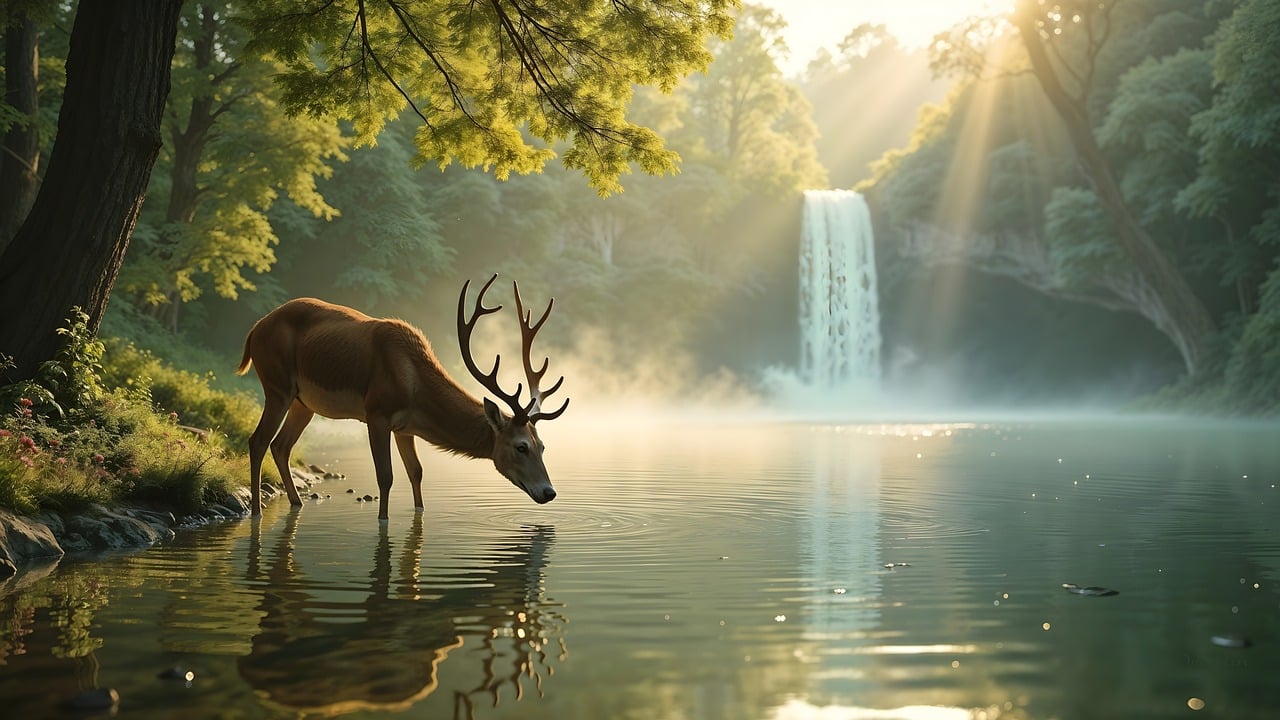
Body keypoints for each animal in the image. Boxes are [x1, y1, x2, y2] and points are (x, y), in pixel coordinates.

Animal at [235, 274, 569, 520]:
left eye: (542, 445)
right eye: (521, 446)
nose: (549, 492)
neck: (414, 386)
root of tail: (254, 330)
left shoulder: (404, 428)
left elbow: (416, 473)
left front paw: (419, 512)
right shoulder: (376, 413)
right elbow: (386, 476)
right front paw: (383, 520)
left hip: (303, 403)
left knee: (281, 445)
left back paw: (297, 504)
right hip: (277, 384)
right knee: (258, 440)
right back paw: (256, 512)